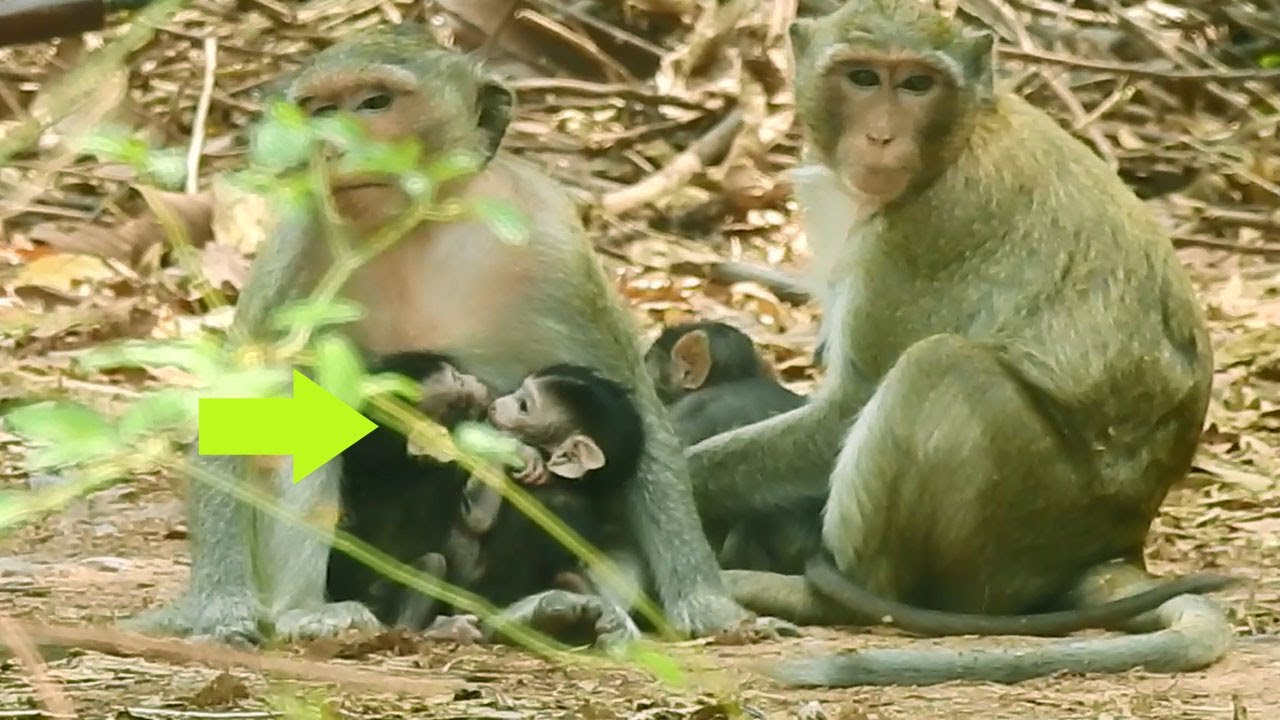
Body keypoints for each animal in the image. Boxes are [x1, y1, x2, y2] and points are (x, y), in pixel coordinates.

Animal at [122, 25, 745, 647]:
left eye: (374, 103)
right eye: (321, 110)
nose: (330, 145)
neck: (417, 222)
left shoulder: (554, 239)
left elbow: (629, 396)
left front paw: (704, 601)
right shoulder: (296, 245)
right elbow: (251, 401)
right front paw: (221, 607)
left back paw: (540, 611)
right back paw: (316, 611)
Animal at [683, 0, 1235, 686]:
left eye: (917, 84)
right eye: (863, 77)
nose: (881, 136)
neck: (958, 136)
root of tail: (1114, 549)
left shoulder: (925, 231)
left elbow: (850, 404)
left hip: (1020, 530)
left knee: (940, 367)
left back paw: (832, 594)